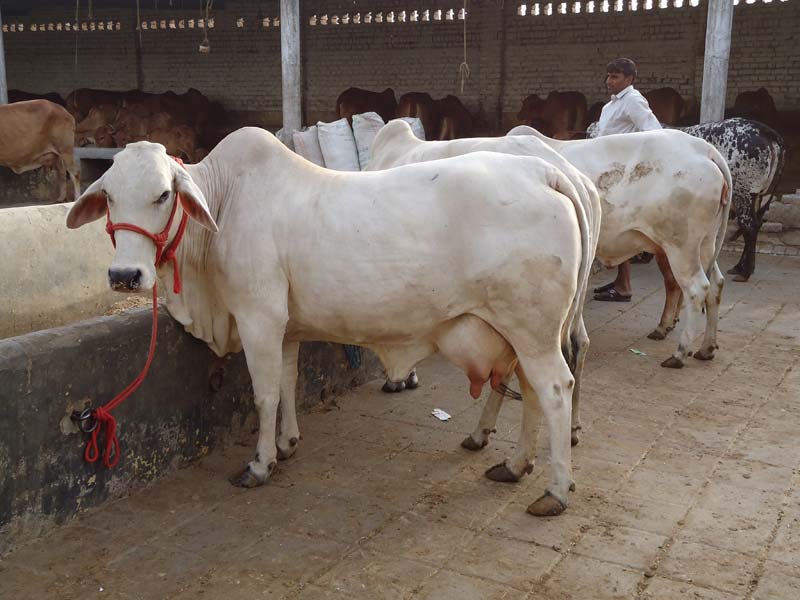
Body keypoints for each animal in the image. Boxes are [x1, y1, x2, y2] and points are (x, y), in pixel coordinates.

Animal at [368, 120, 601, 449]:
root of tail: (563, 174)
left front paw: (400, 379)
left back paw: (480, 432)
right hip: (570, 301)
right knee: (579, 344)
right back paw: (572, 430)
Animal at [509, 125, 732, 367]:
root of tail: (704, 149)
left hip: (681, 246)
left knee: (697, 288)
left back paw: (680, 353)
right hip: (705, 243)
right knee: (716, 284)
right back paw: (705, 347)